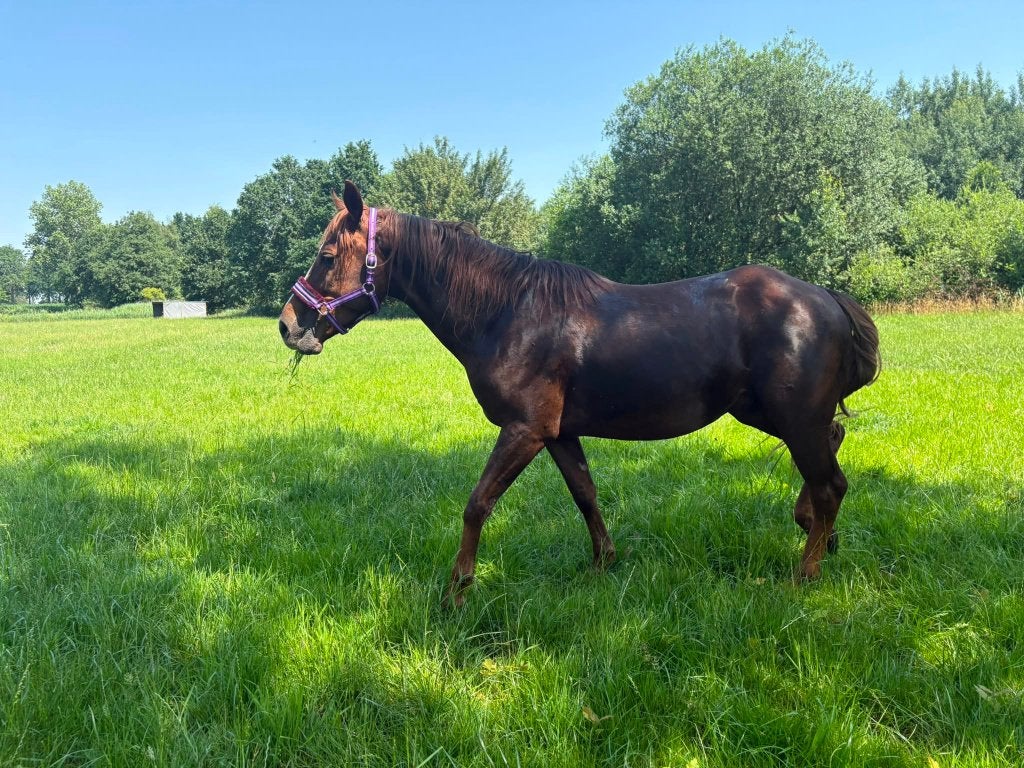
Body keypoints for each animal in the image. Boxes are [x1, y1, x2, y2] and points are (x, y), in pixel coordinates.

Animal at [279, 181, 880, 605]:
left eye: (327, 255)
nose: (288, 324)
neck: (509, 311)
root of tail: (825, 297)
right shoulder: (558, 434)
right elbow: (585, 495)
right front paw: (603, 564)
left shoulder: (524, 430)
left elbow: (478, 504)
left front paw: (457, 590)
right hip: (767, 411)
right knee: (833, 445)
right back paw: (816, 534)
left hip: (791, 416)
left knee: (830, 482)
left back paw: (805, 572)